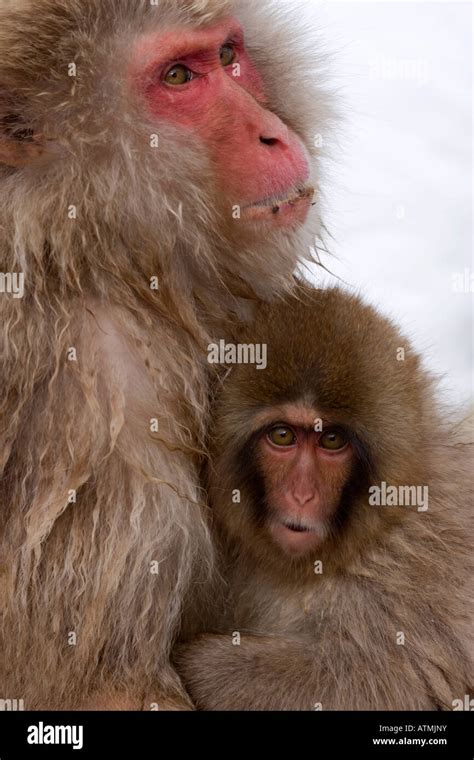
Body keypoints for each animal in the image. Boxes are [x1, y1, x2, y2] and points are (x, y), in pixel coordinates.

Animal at [174, 285, 473, 711]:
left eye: (331, 440)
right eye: (282, 435)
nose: (302, 494)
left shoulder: (417, 563)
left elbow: (379, 683)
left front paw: (203, 668)